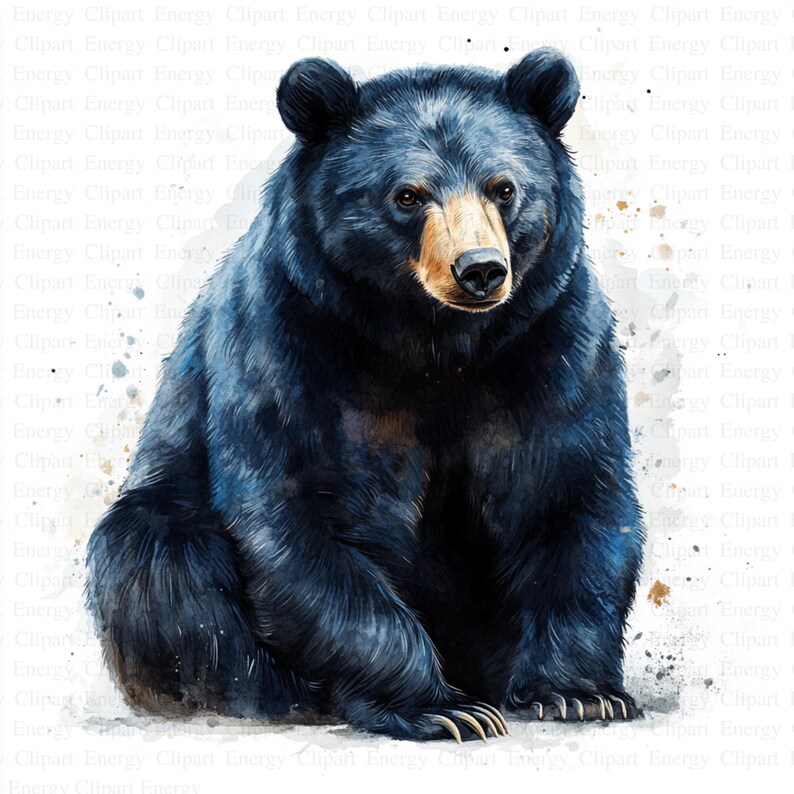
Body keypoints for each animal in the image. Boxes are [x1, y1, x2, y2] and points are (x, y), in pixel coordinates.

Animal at [86, 49, 644, 742]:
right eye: (407, 195)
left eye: (505, 187)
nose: (481, 270)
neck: (434, 344)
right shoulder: (295, 345)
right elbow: (306, 513)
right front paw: (444, 707)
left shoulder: (548, 344)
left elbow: (567, 493)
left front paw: (579, 693)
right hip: (163, 525)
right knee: (157, 559)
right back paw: (275, 694)